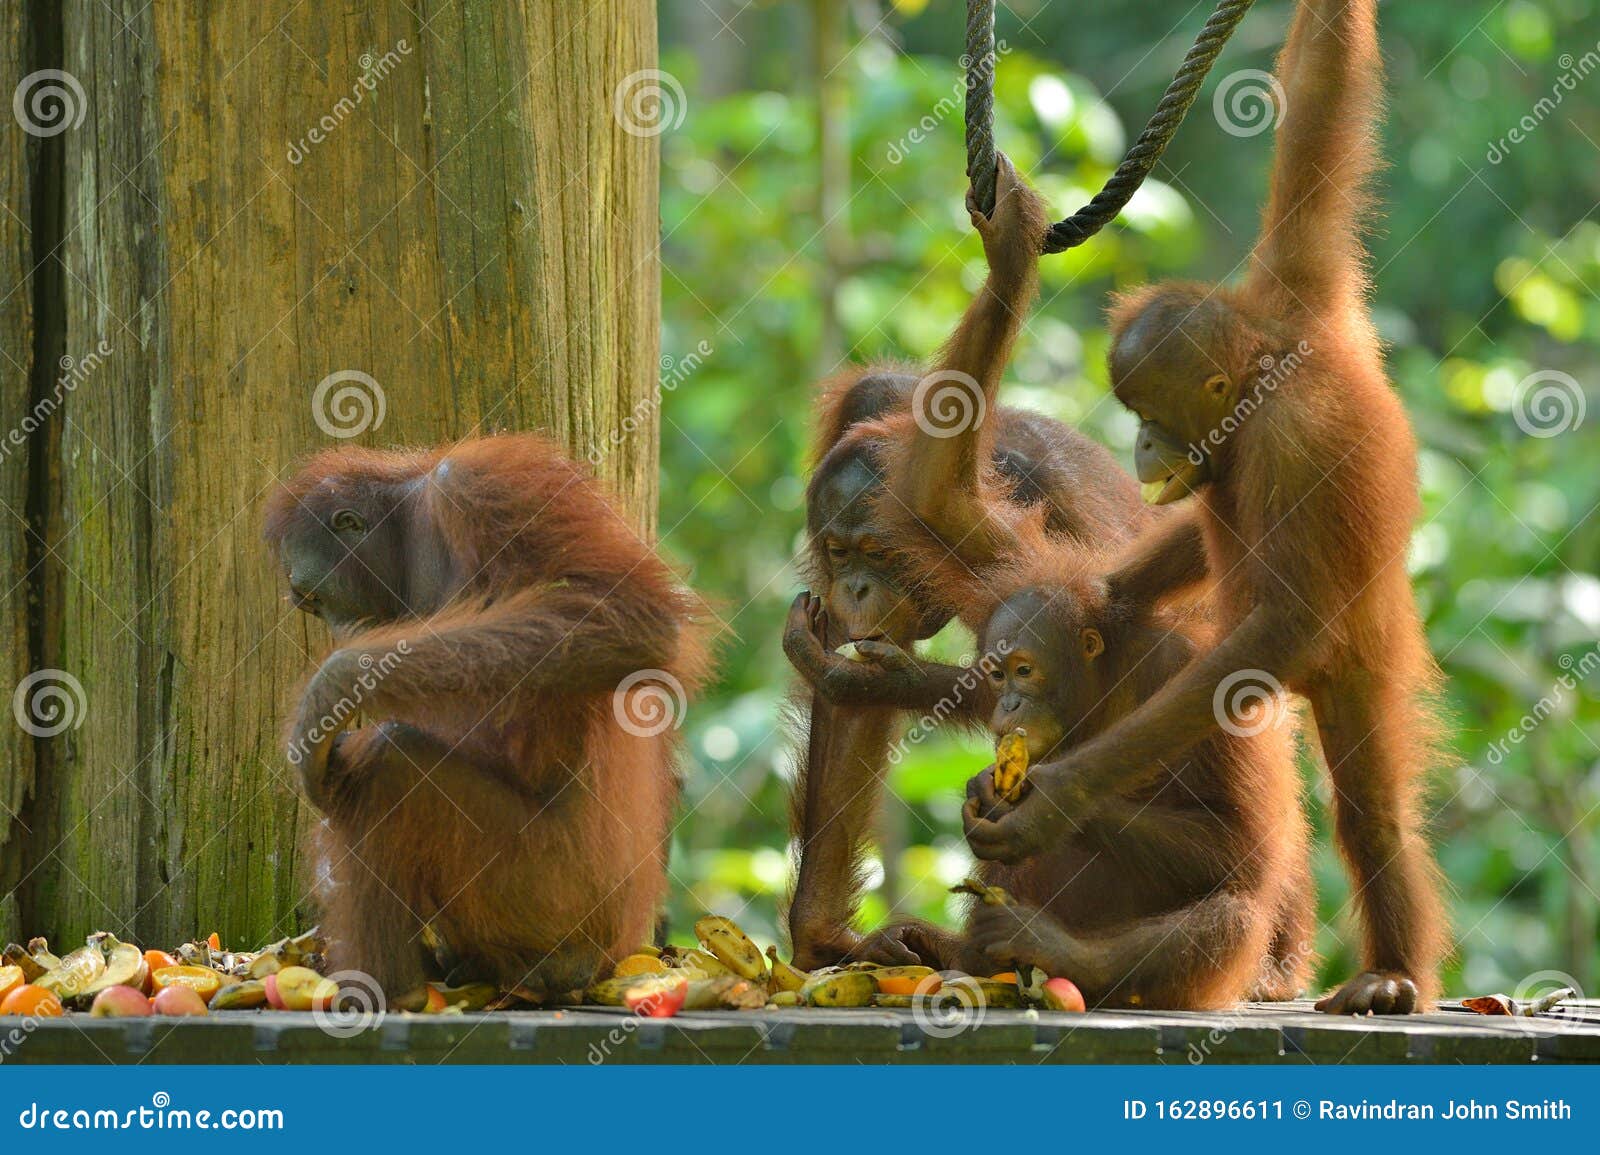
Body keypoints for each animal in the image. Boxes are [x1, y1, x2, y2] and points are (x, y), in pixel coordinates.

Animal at [262, 434, 712, 997]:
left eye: (318, 597)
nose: (339, 631)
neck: (412, 526)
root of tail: (622, 946)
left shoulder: (485, 488)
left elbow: (636, 616)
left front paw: (332, 688)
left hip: (547, 893)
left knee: (390, 762)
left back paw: (387, 990)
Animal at [961, 0, 1447, 1015]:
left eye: (1150, 413)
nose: (1144, 447)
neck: (1270, 369)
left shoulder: (1293, 443)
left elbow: (1278, 624)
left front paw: (1054, 798)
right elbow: (1320, 112)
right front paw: (1103, 597)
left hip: (1364, 647)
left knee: (1368, 809)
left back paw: (1388, 973)